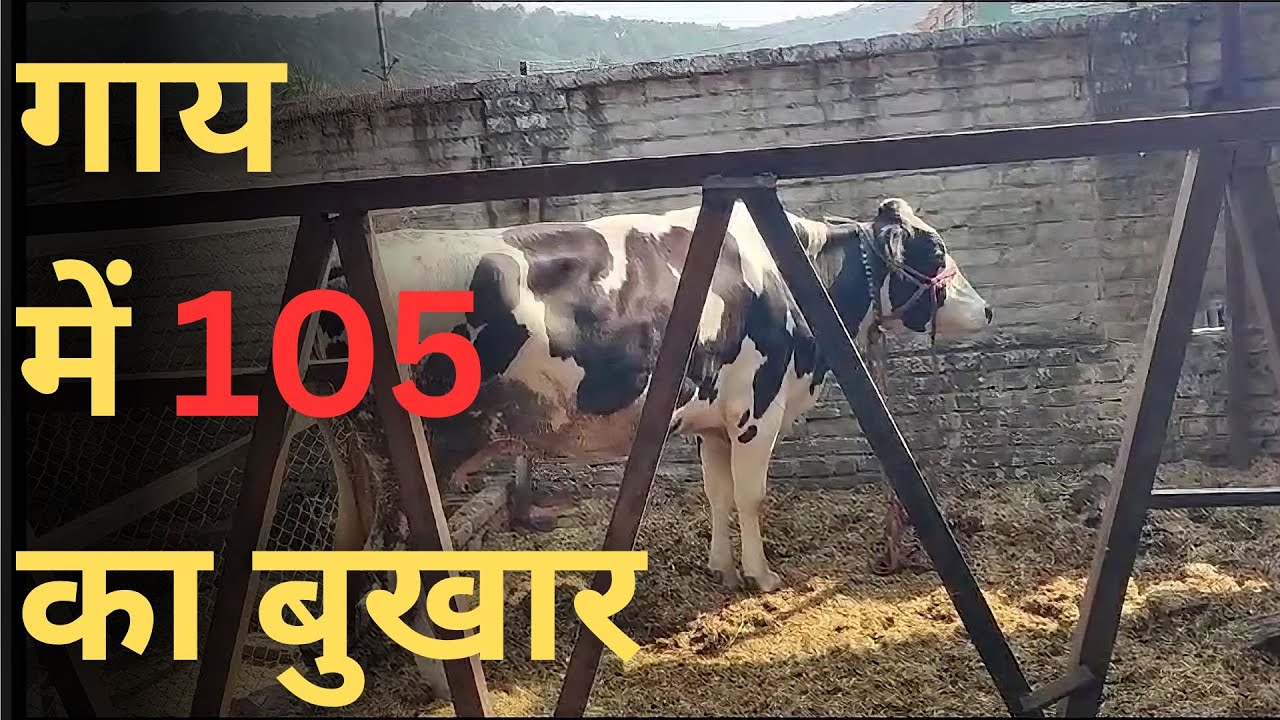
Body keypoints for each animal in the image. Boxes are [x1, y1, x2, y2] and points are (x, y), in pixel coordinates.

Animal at [312, 196, 994, 702]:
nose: (986, 311)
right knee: (404, 558)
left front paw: (723, 569)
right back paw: (438, 674)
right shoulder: (759, 408)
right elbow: (752, 496)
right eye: (935, 247)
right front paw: (762, 577)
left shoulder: (714, 421)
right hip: (423, 453)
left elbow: (719, 495)